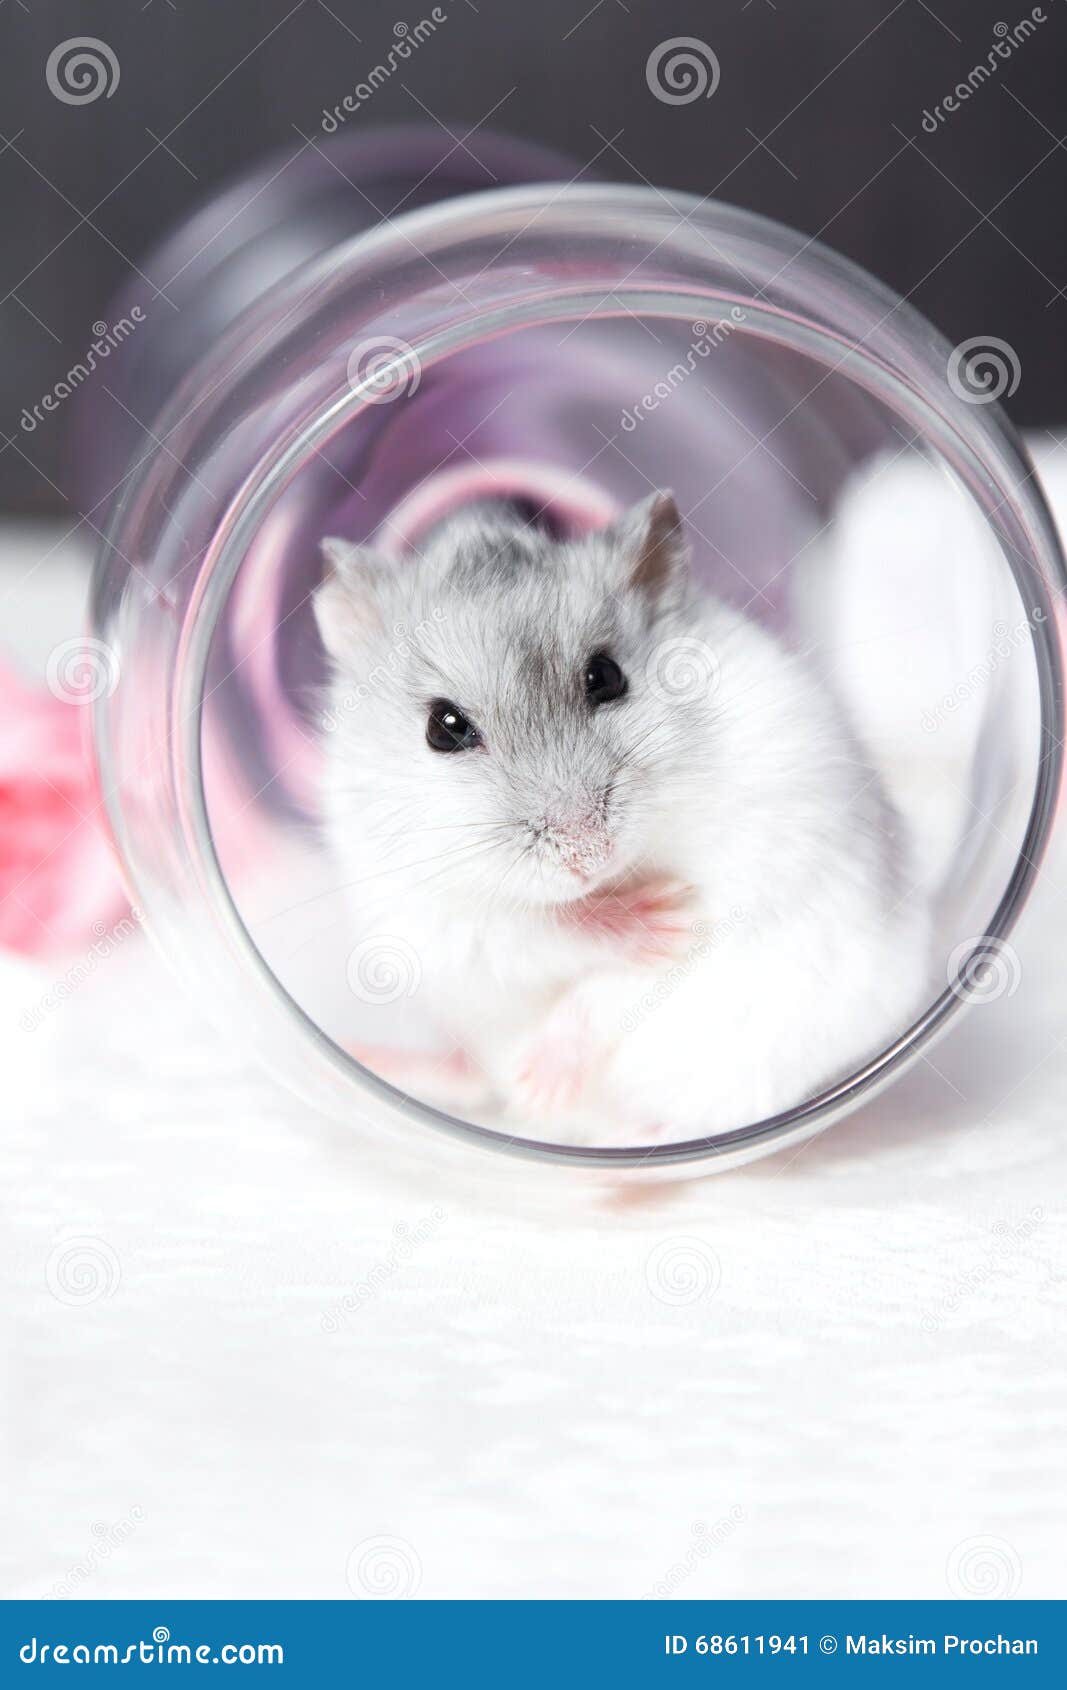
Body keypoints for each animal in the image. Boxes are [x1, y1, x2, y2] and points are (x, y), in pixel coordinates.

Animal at [313, 491, 932, 1145]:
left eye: (606, 676)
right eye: (443, 727)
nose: (589, 853)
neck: (612, 881)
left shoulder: (734, 906)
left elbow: (613, 989)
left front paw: (542, 1081)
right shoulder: (440, 917)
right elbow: (536, 931)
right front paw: (646, 920)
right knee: (476, 1076)